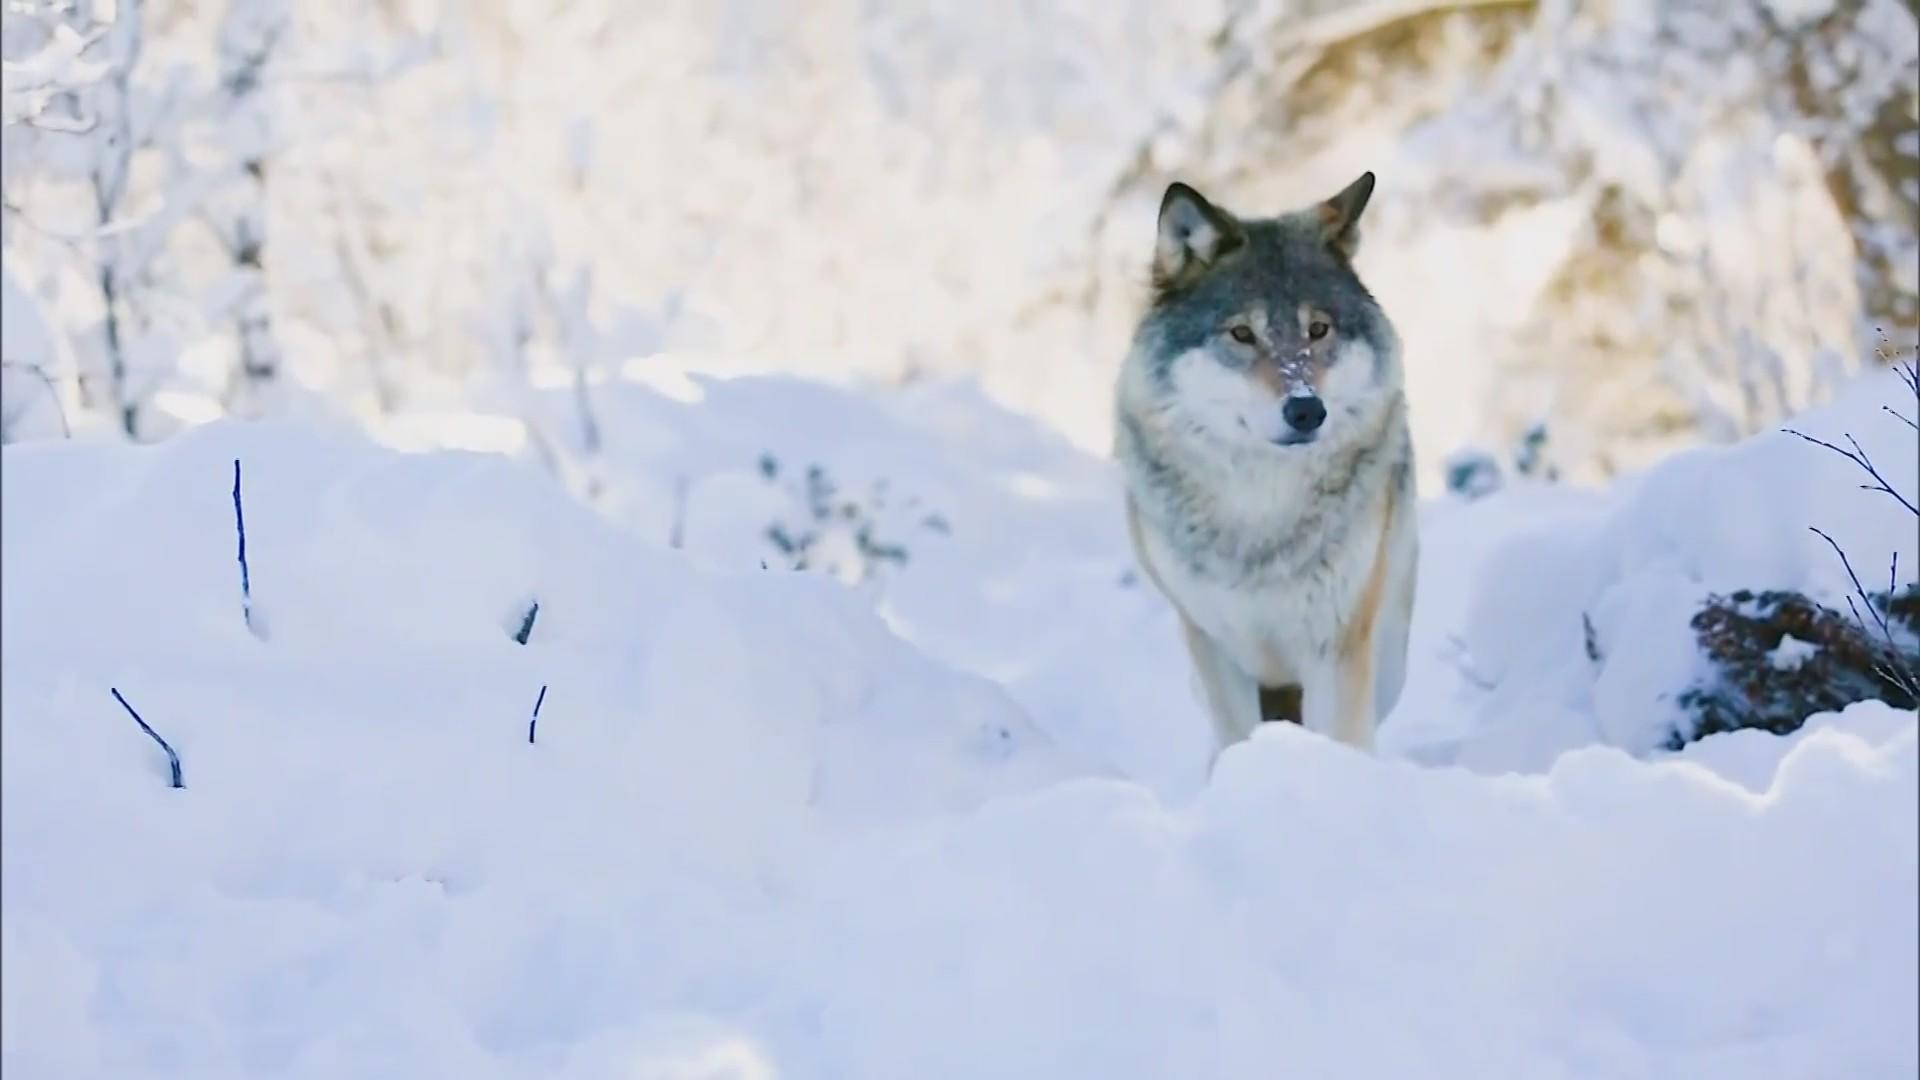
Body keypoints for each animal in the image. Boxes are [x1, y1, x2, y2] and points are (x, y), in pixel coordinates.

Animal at [1114, 173, 1417, 757]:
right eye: (1241, 334)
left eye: (1318, 329)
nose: (1306, 409)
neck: (1260, 516)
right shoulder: (1214, 647)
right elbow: (1235, 737)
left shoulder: (1339, 647)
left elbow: (1344, 742)